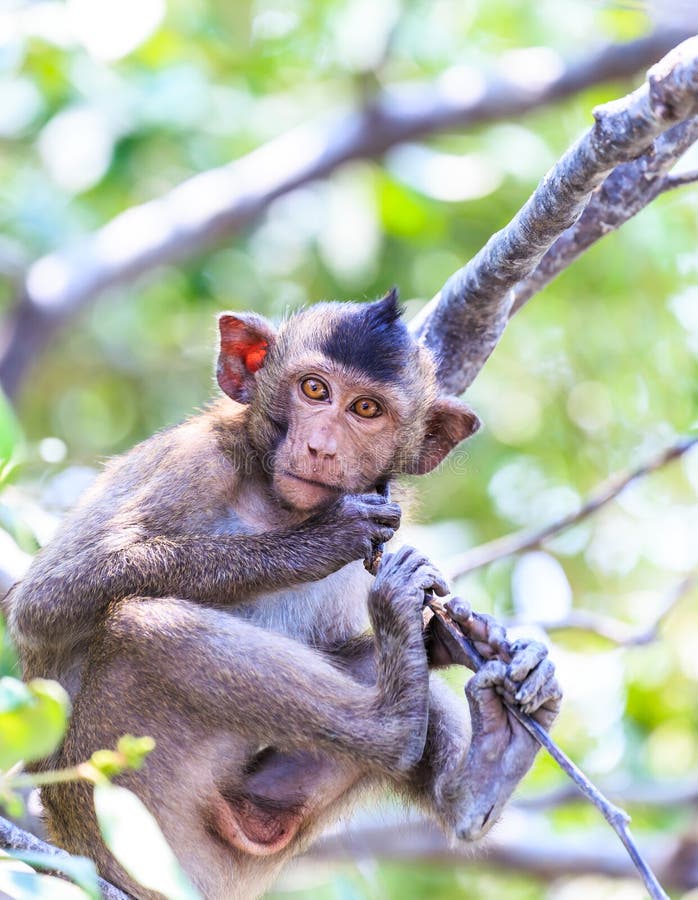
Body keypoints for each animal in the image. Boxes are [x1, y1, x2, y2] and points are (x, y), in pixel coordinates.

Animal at [4, 290, 561, 899]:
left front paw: (456, 634)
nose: (320, 447)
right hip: (129, 811)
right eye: (314, 390)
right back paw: (394, 725)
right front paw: (320, 542)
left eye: (367, 410)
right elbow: (46, 602)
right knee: (142, 627)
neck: (272, 497)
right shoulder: (193, 465)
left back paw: (482, 773)